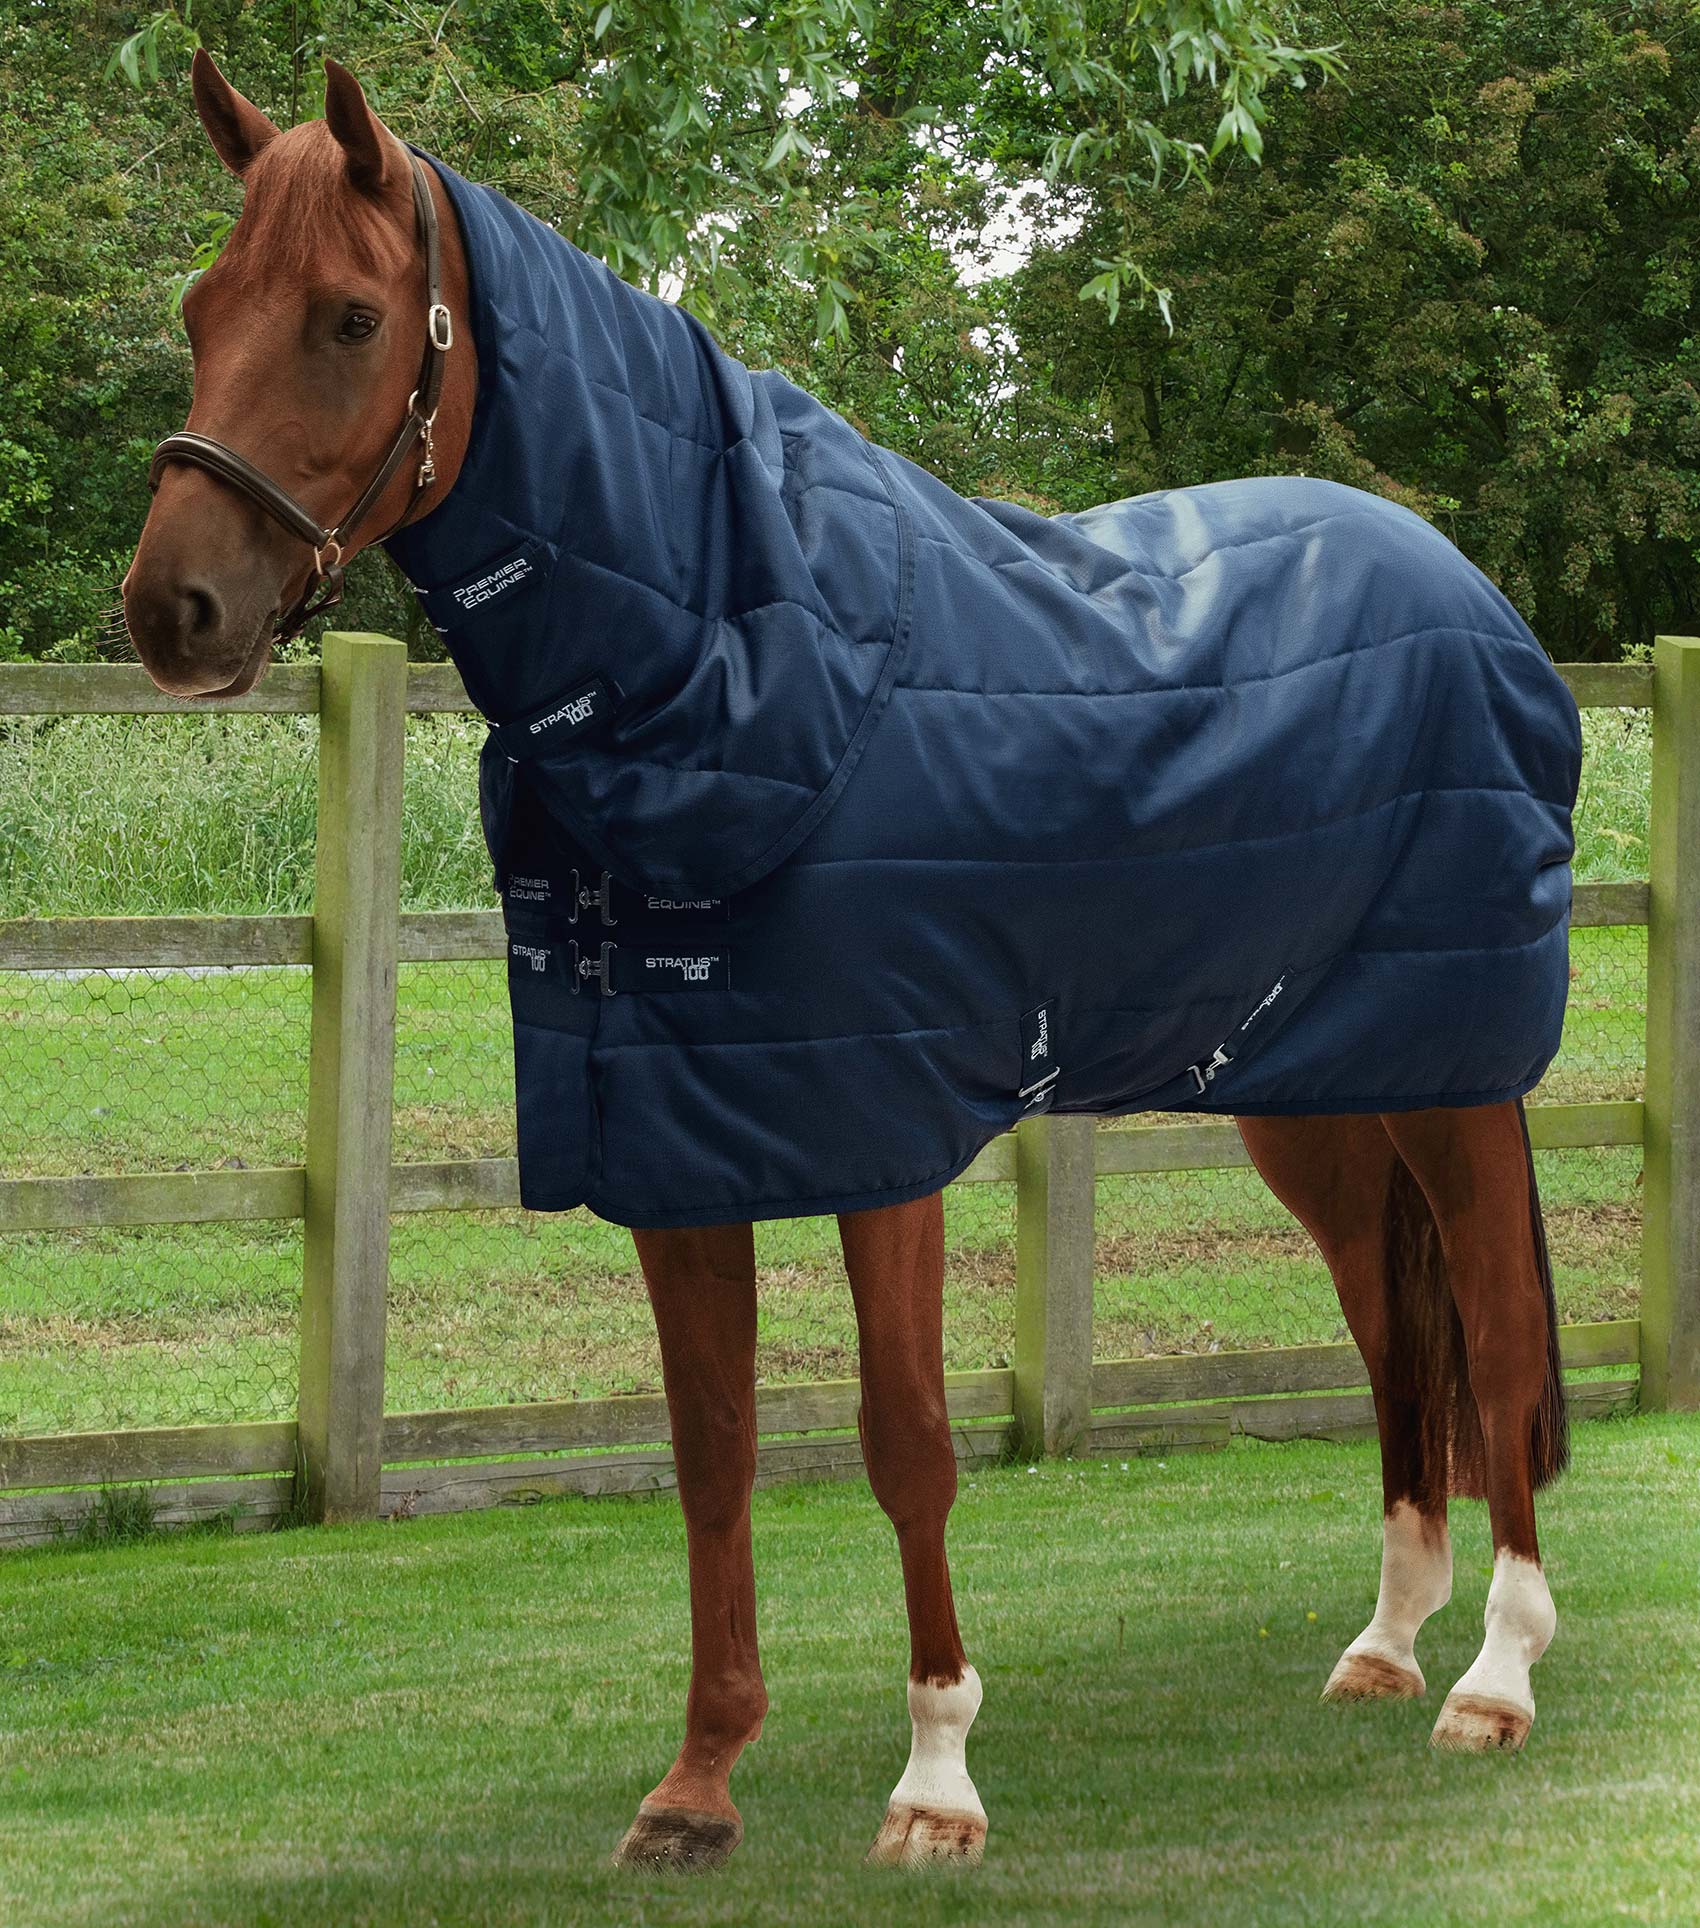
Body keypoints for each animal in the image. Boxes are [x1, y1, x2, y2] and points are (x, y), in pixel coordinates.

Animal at [123, 54, 1578, 1872]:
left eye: (348, 314)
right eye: (201, 308)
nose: (172, 609)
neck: (749, 677)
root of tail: (1477, 599)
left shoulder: (885, 1136)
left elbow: (906, 1442)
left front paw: (936, 1779)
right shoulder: (681, 1146)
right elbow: (715, 1448)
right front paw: (695, 1787)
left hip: (1456, 1082)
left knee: (1499, 1340)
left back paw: (1496, 1680)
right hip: (1311, 1103)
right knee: (1397, 1340)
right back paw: (1385, 1645)